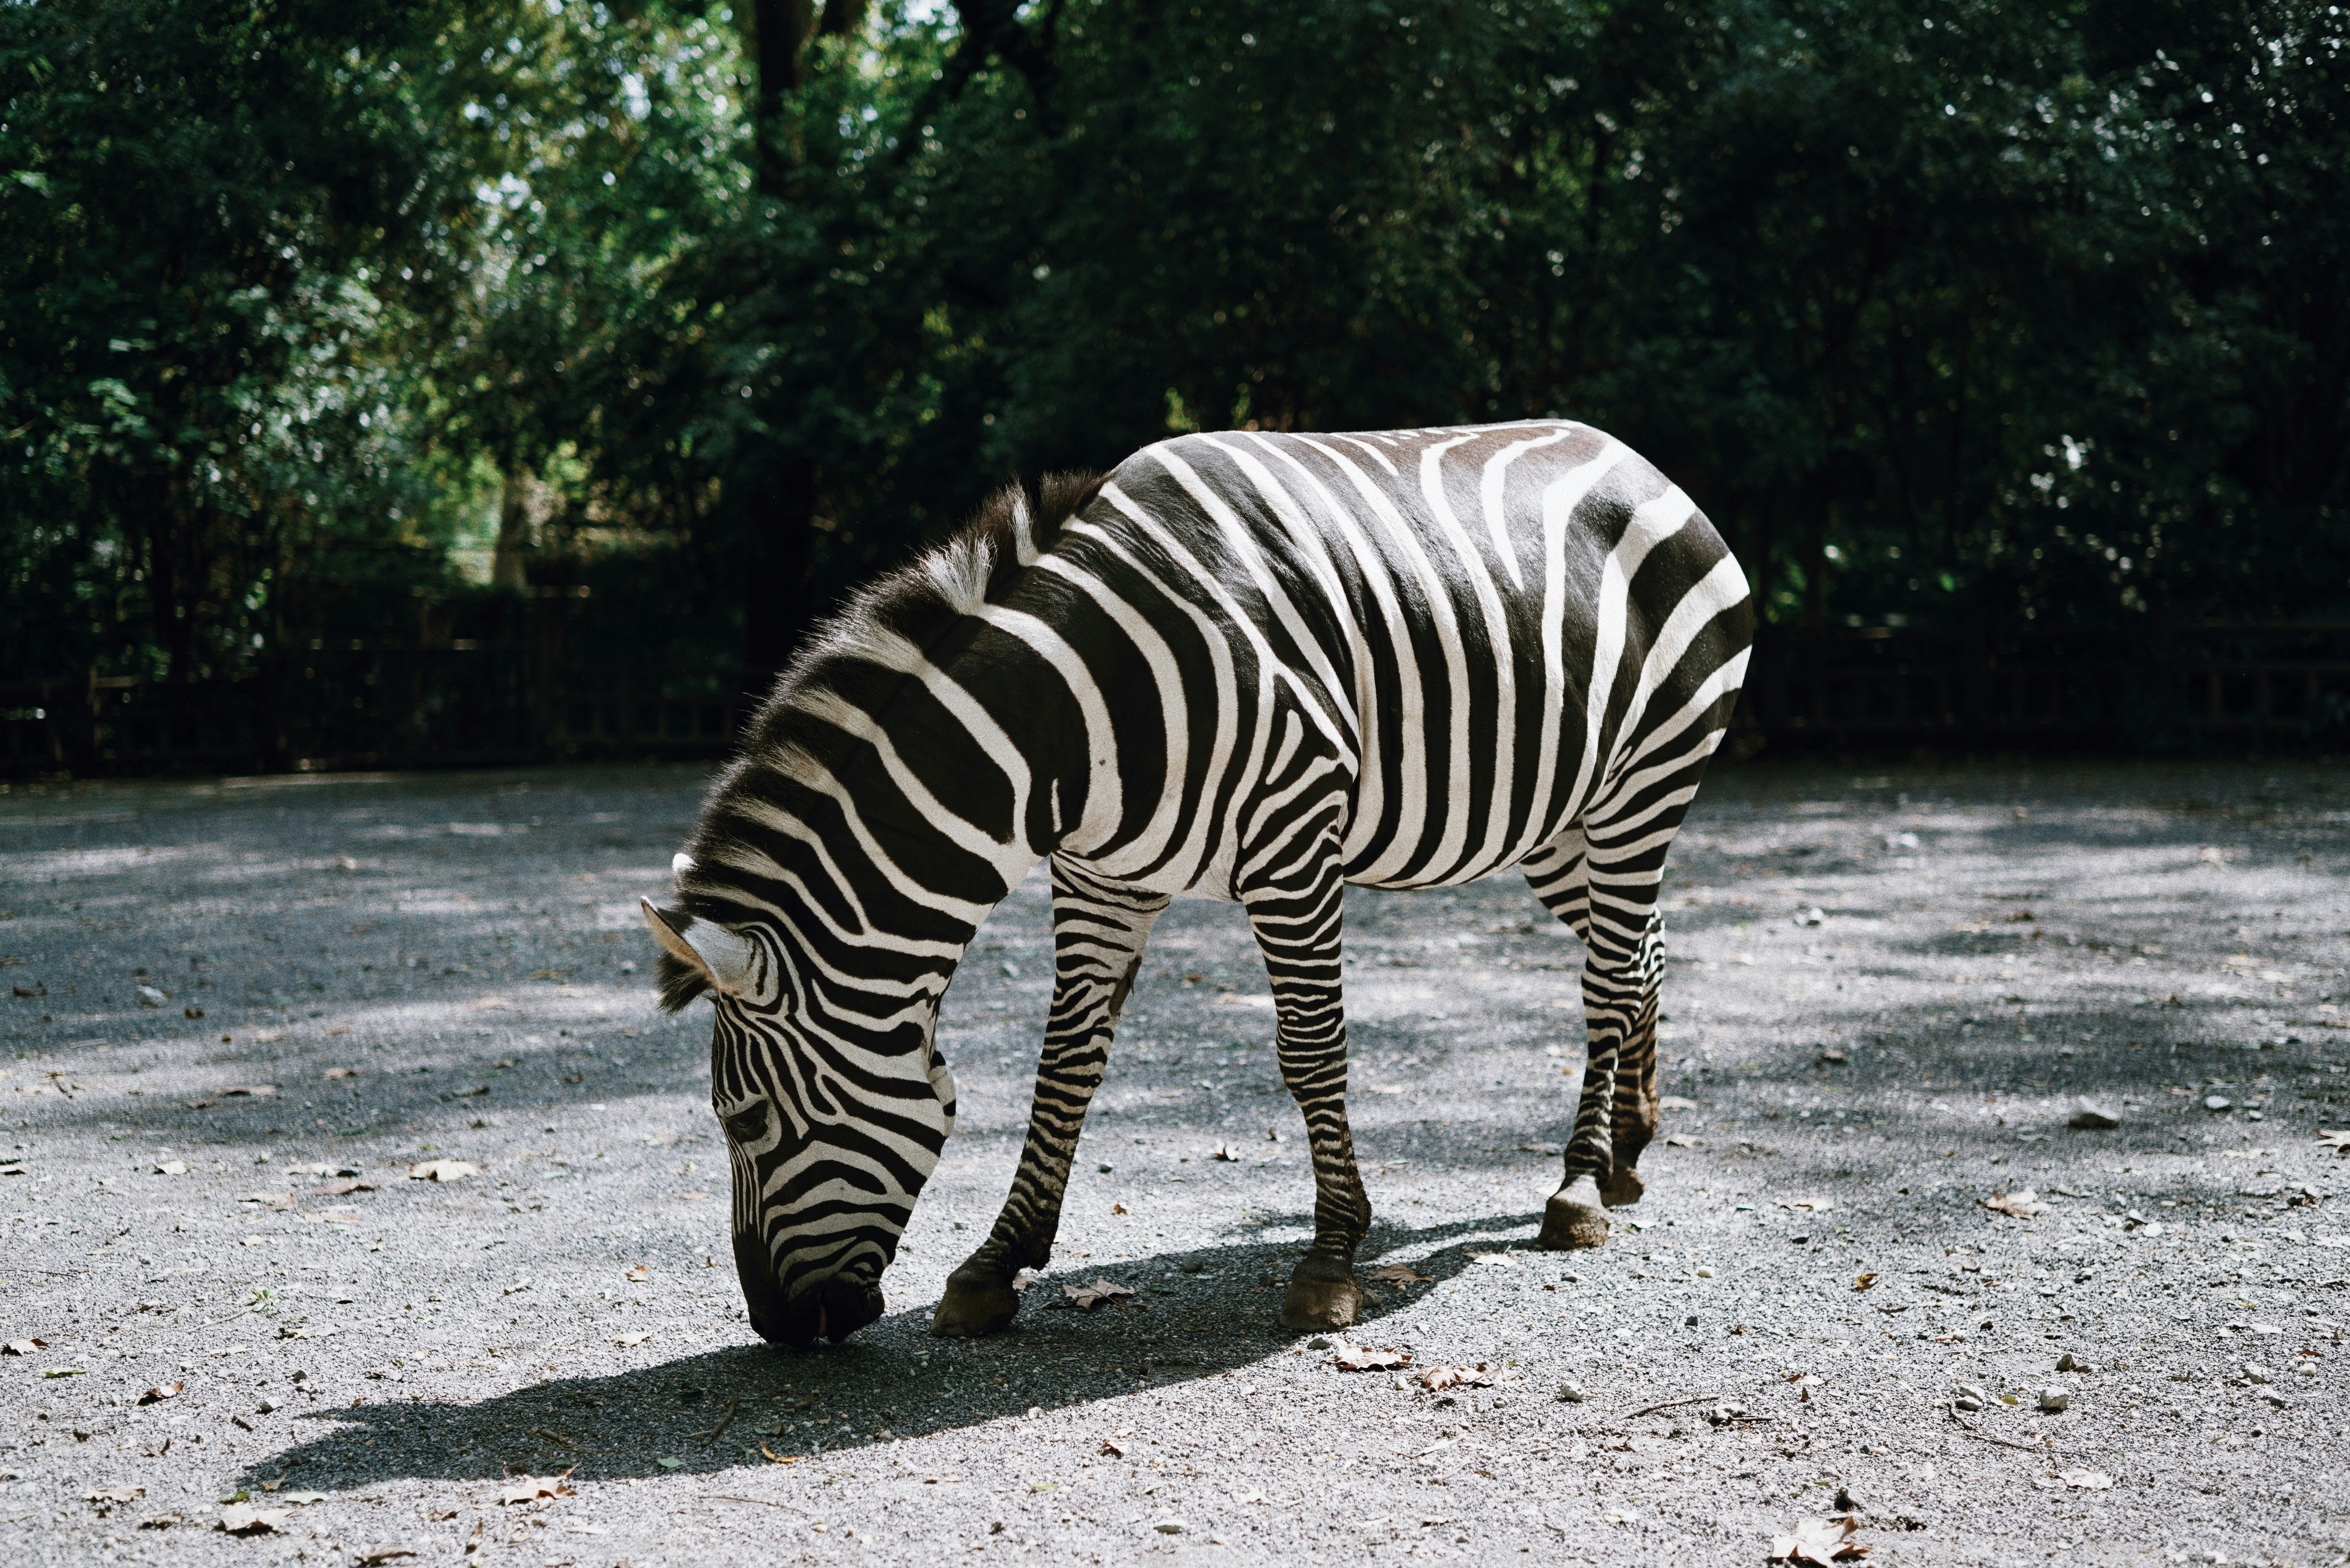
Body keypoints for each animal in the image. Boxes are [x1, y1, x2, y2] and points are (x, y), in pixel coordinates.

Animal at [642, 421, 1753, 1347]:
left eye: (744, 1120)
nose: (778, 1328)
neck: (1064, 724)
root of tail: (1635, 457)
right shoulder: (1098, 877)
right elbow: (1064, 1066)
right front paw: (995, 1265)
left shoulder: (1293, 843)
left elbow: (1310, 1051)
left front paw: (1331, 1259)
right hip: (1554, 821)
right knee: (1642, 949)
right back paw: (1628, 1149)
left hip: (1642, 783)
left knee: (1608, 976)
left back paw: (1577, 1187)